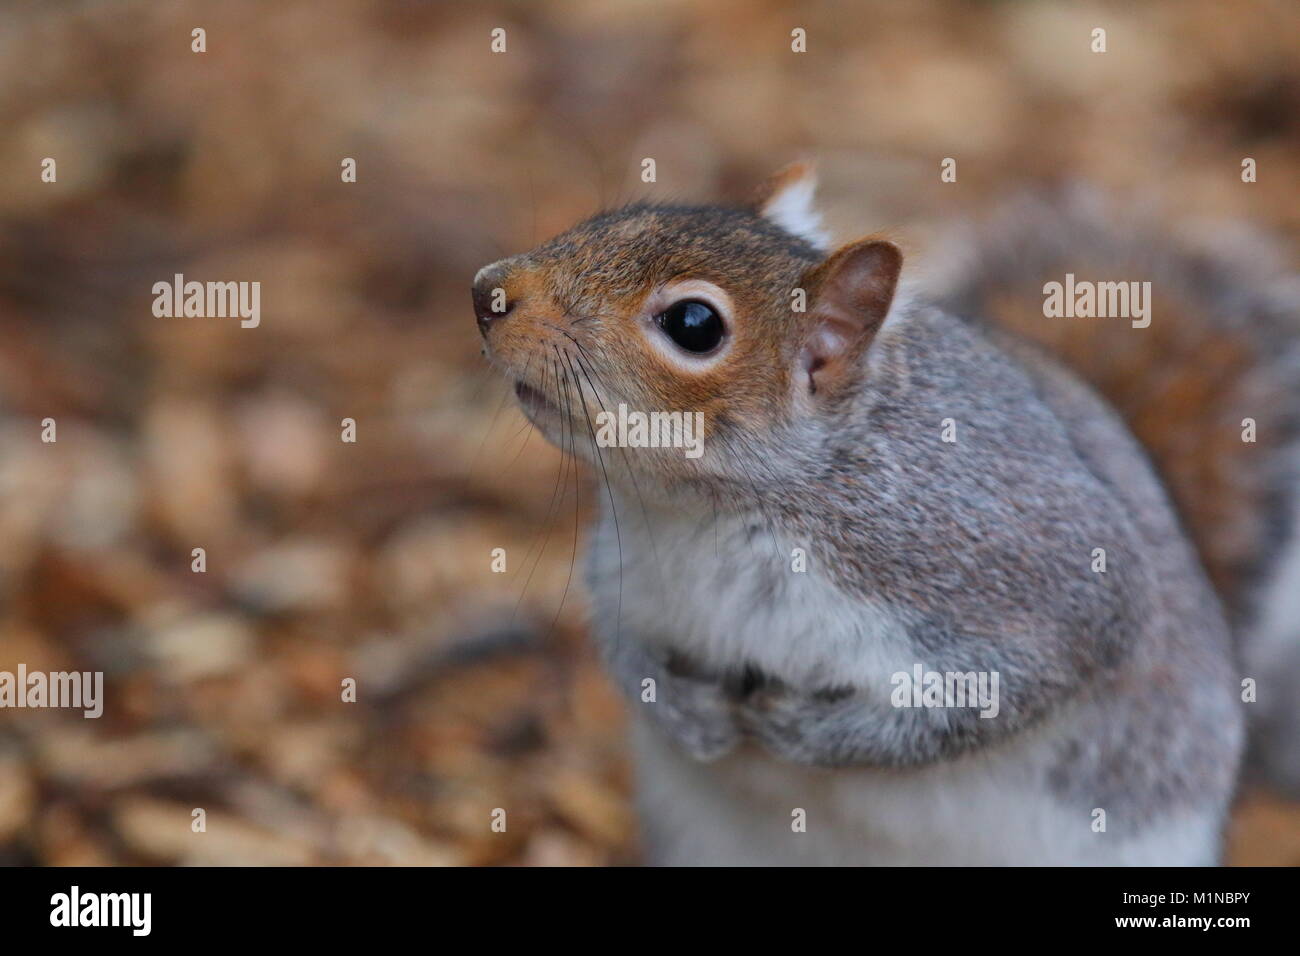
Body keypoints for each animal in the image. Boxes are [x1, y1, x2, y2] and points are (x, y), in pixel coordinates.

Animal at [471, 163, 1300, 865]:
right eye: (617, 215)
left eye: (694, 324)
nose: (487, 292)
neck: (712, 511)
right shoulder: (625, 573)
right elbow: (622, 648)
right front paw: (685, 712)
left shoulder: (1022, 578)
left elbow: (994, 695)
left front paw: (804, 732)